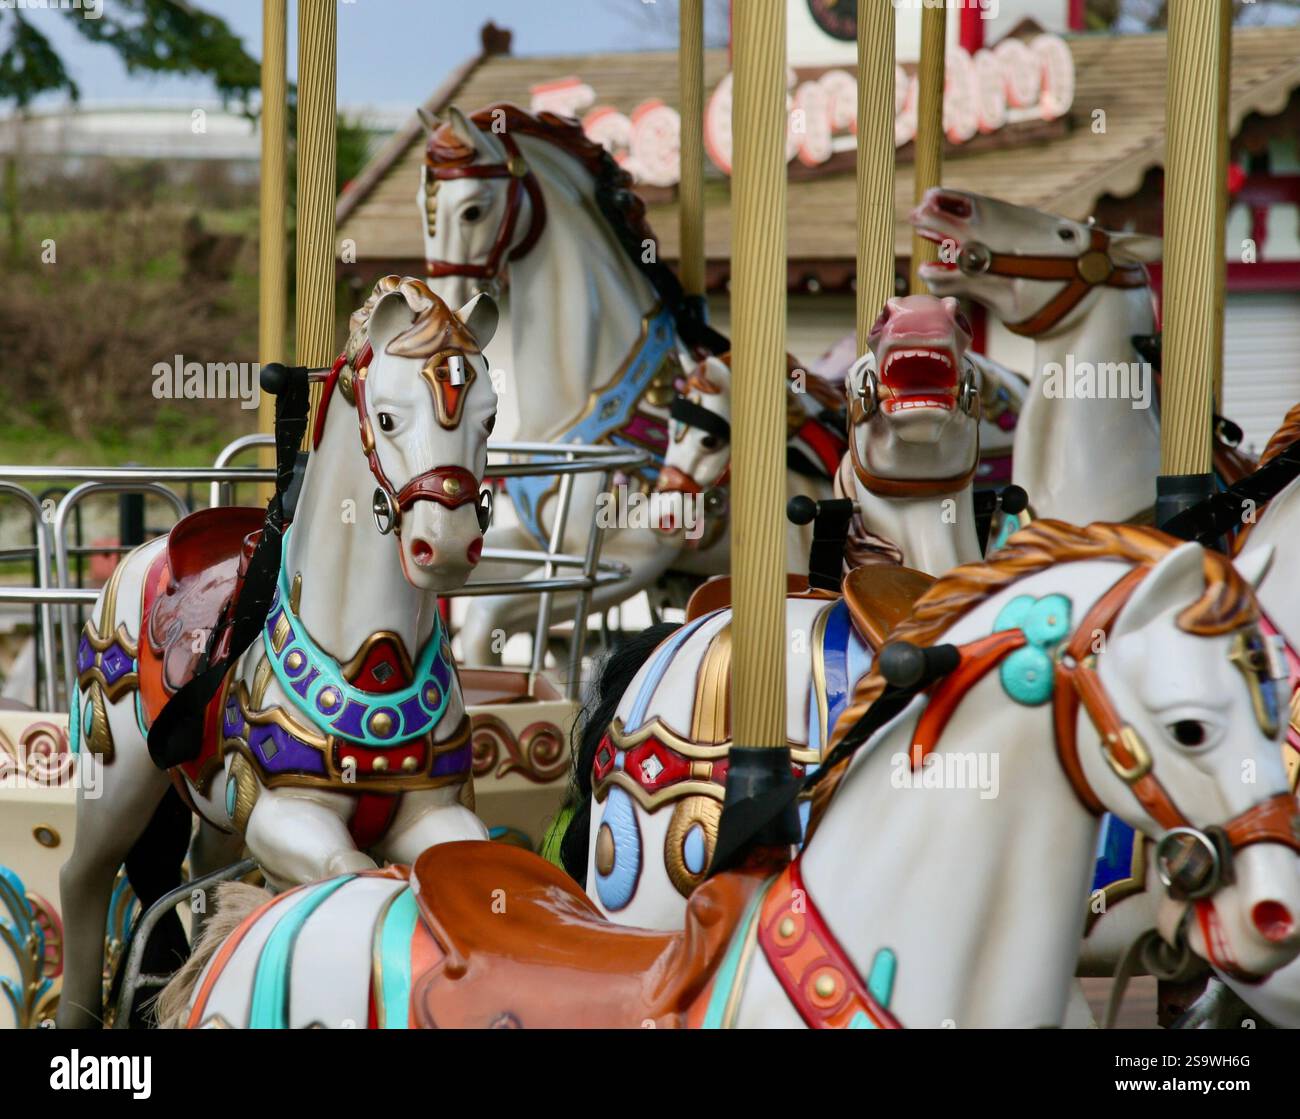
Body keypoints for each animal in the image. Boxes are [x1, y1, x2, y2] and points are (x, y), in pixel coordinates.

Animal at [56, 277, 500, 1028]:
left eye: (490, 418)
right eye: (386, 418)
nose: (443, 545)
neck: (375, 665)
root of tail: (146, 549)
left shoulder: (435, 810)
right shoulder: (287, 815)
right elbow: (348, 870)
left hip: (212, 801)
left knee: (196, 865)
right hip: (114, 773)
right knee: (81, 878)